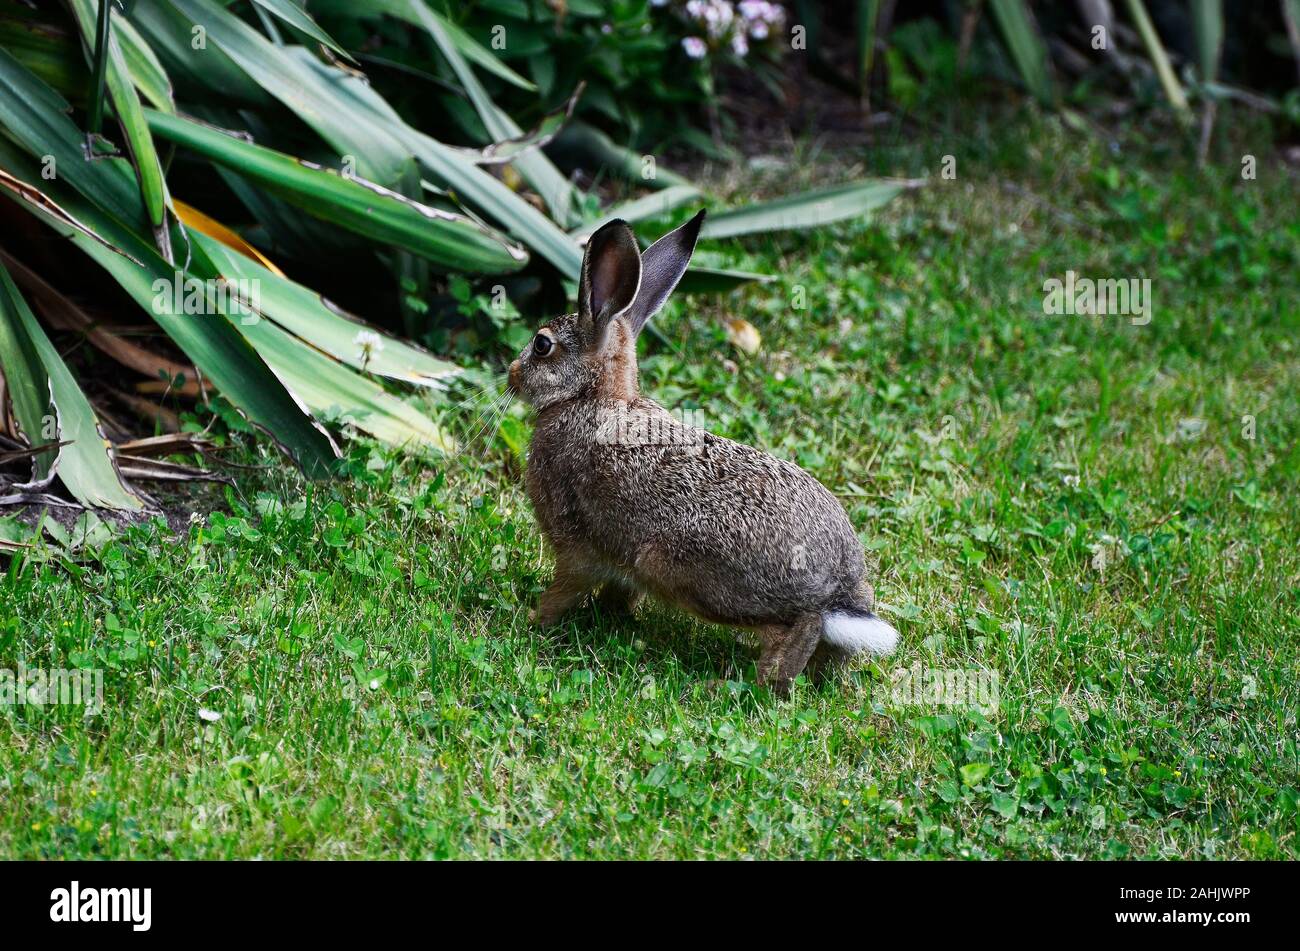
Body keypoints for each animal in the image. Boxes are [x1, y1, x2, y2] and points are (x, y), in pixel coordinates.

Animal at [507, 210, 898, 695]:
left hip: (685, 571)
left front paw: (532, 620)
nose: (512, 372)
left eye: (542, 345)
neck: (592, 398)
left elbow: (564, 589)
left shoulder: (577, 545)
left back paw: (743, 685)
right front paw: (611, 617)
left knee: (795, 630)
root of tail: (840, 583)